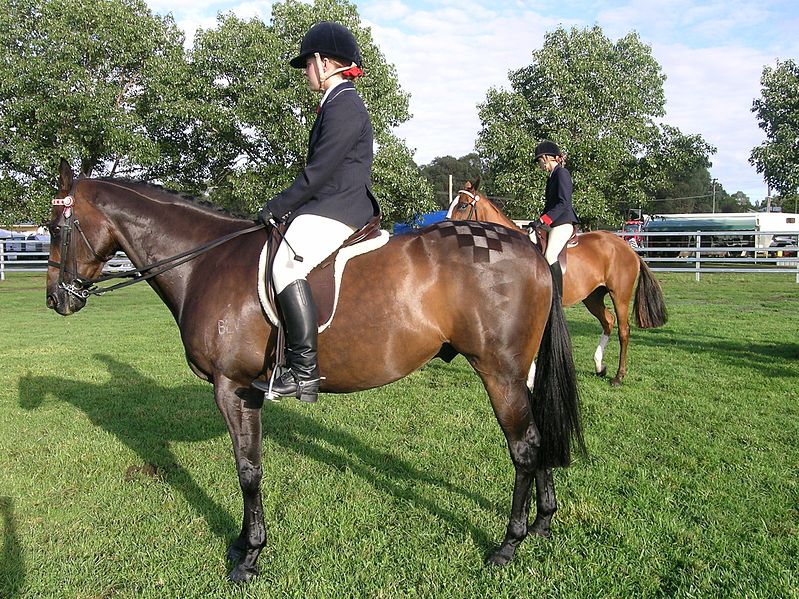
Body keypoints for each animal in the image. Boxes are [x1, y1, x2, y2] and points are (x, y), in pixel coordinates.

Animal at [45, 159, 585, 583]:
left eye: (55, 229)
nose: (55, 300)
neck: (204, 264)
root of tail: (530, 250)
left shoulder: (231, 387)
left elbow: (247, 469)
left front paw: (249, 557)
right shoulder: (246, 391)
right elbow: (250, 466)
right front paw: (243, 544)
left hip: (500, 373)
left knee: (523, 446)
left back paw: (508, 546)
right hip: (521, 373)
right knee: (536, 435)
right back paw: (543, 522)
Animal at [448, 180, 667, 386]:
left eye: (463, 205)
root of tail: (627, 248)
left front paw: (529, 378)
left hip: (619, 295)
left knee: (623, 330)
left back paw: (619, 376)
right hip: (592, 297)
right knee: (608, 321)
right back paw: (599, 366)